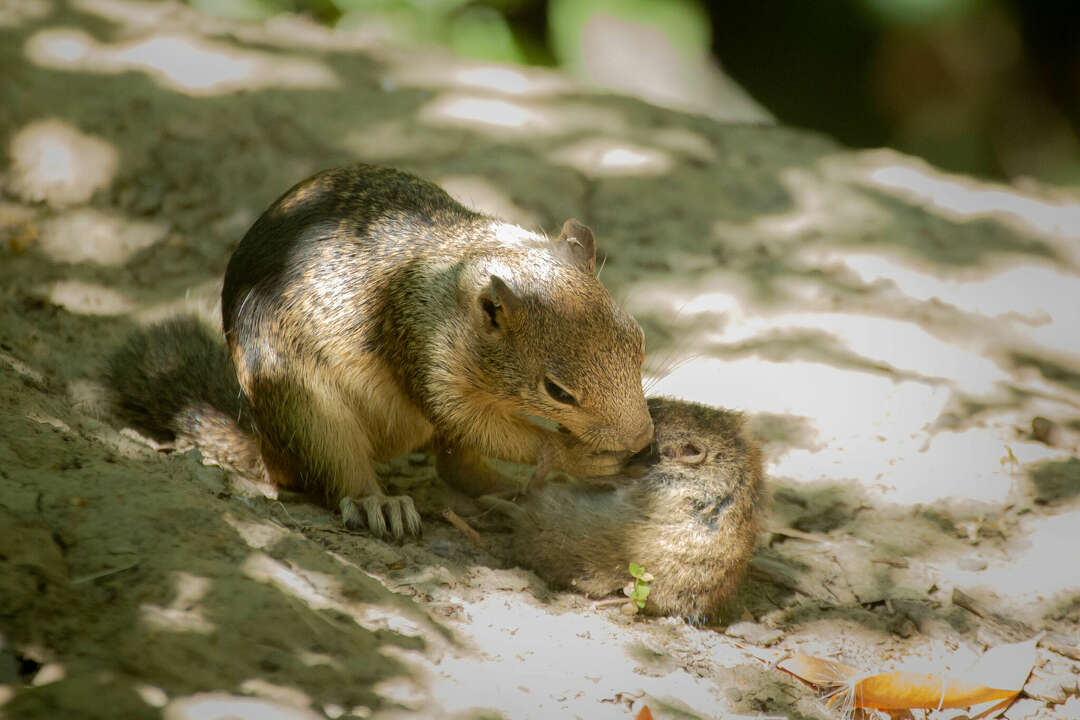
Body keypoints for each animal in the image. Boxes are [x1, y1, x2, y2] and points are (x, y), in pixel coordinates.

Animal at [108, 164, 654, 539]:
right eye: (557, 391)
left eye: (638, 340)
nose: (643, 437)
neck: (454, 282)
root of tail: (268, 449)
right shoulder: (427, 354)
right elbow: (477, 423)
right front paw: (576, 455)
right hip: (305, 410)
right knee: (339, 469)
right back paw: (380, 504)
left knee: (456, 467)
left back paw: (503, 489)